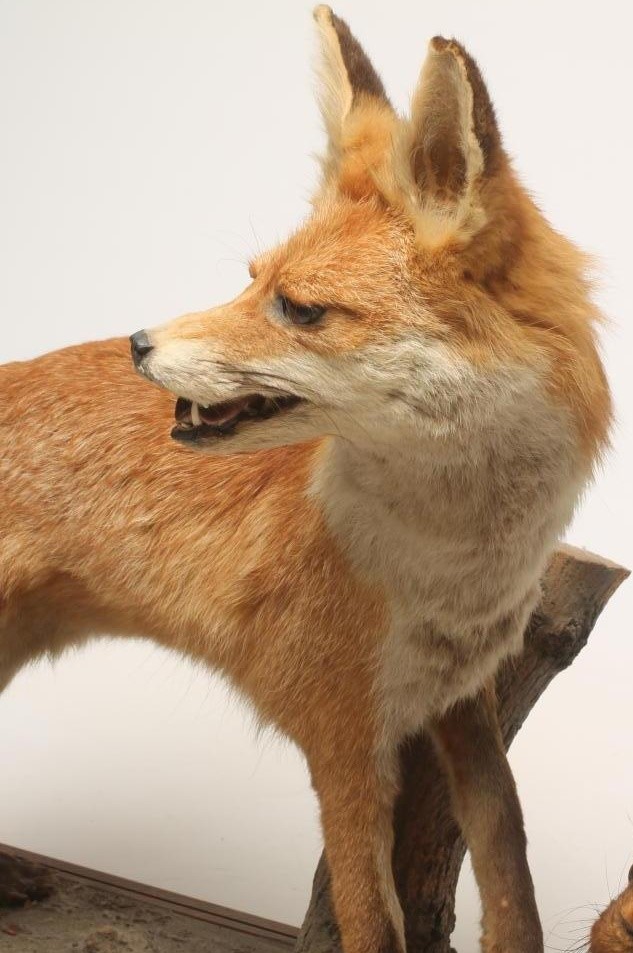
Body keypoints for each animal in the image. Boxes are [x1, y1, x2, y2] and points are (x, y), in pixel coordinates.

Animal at [0, 6, 612, 953]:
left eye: (299, 307)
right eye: (252, 282)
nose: (138, 343)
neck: (449, 568)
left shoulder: (462, 696)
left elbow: (508, 853)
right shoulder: (342, 730)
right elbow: (370, 918)